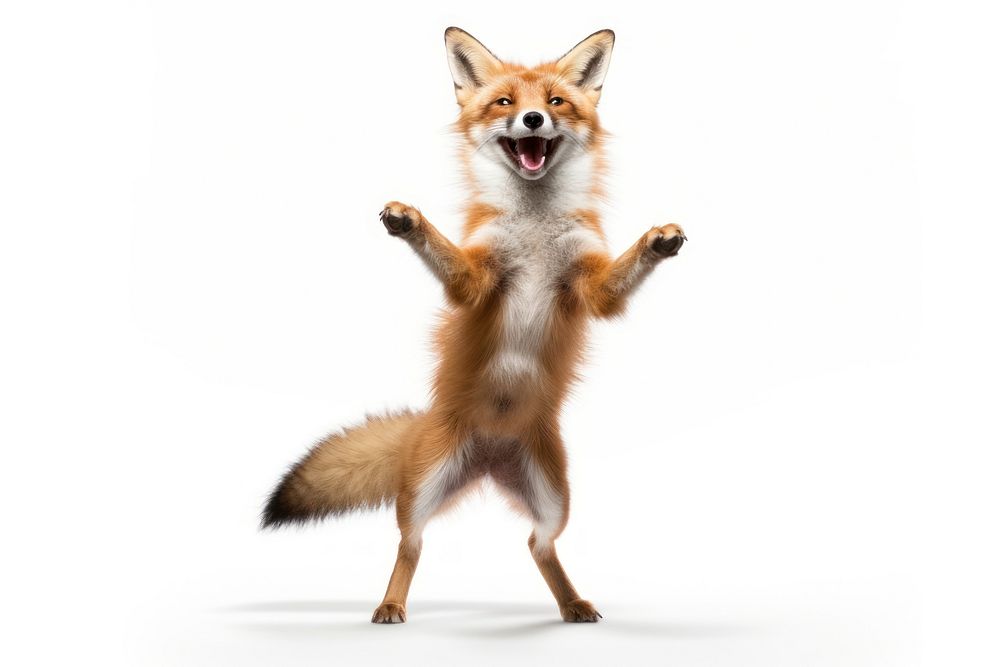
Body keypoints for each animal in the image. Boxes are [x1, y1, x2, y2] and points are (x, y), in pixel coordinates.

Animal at [262, 27, 686, 624]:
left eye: (556, 102)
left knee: (538, 545)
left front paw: (655, 242)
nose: (532, 119)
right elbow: (449, 259)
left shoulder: (590, 285)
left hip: (554, 498)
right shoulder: (478, 281)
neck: (533, 224)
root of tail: (488, 456)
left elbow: (617, 277)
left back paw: (572, 603)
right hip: (423, 490)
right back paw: (391, 603)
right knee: (410, 544)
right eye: (505, 102)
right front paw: (412, 223)